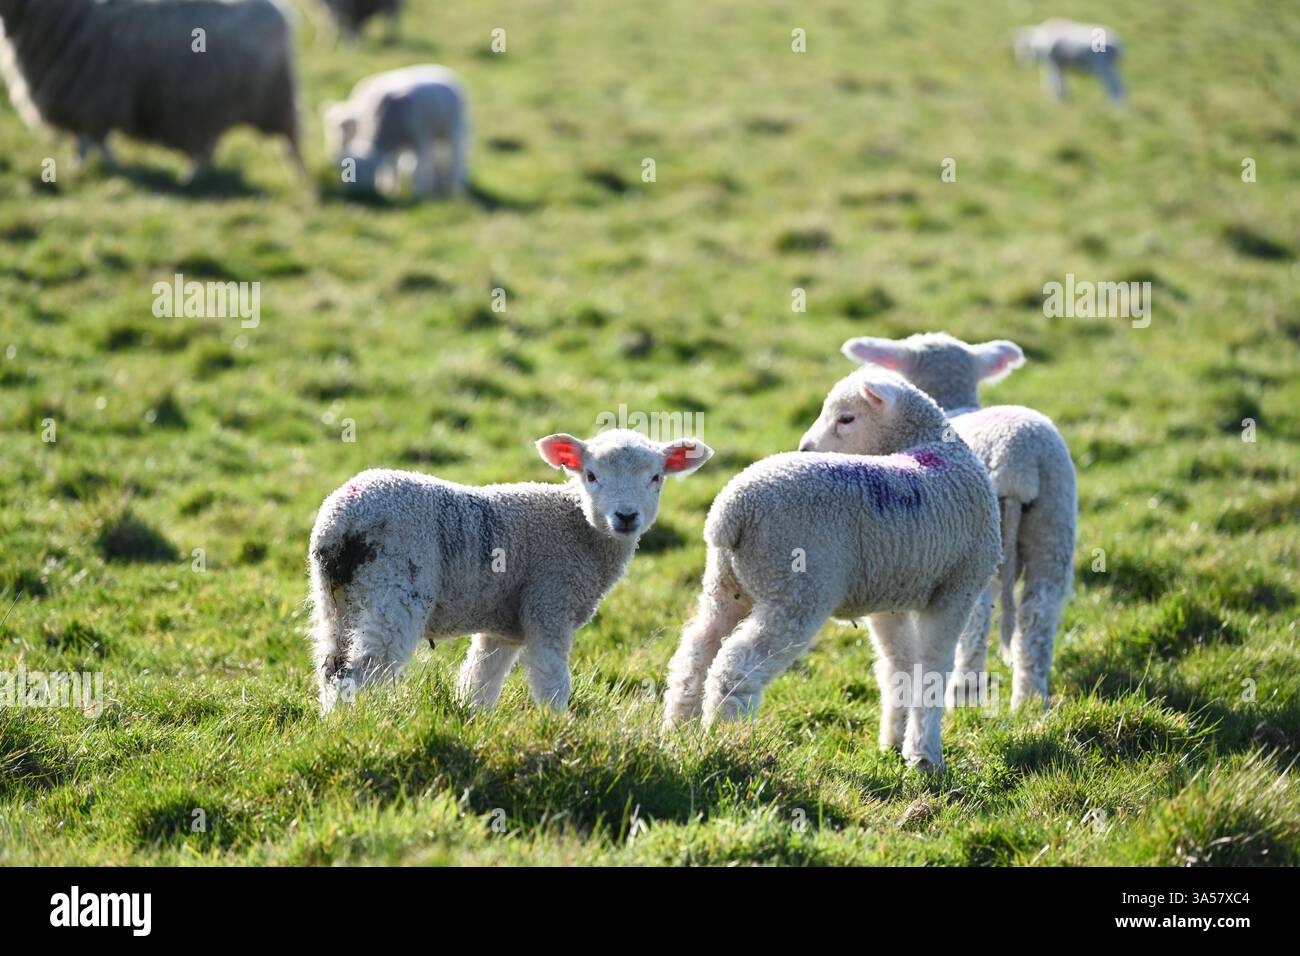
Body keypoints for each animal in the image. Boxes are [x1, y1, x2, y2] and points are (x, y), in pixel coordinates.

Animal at [0, 0, 304, 181]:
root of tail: (280, 13)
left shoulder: (95, 99)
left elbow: (90, 142)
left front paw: (87, 169)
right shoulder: (91, 103)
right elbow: (92, 142)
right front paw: (96, 166)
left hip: (274, 100)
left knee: (292, 142)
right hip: (219, 105)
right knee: (208, 147)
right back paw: (191, 176)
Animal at [309, 429, 713, 715]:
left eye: (656, 477)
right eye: (591, 475)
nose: (626, 516)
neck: (579, 527)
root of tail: (343, 519)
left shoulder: (503, 627)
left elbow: (479, 681)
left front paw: (472, 719)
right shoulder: (549, 602)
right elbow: (552, 681)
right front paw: (556, 727)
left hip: (336, 597)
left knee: (331, 668)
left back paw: (334, 724)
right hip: (395, 588)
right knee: (360, 671)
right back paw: (357, 725)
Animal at [324, 65, 469, 200]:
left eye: (368, 171)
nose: (358, 195)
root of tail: (443, 70)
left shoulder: (419, 137)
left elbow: (416, 169)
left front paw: (418, 194)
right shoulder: (395, 144)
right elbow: (391, 166)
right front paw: (390, 189)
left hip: (456, 127)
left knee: (457, 158)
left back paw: (456, 188)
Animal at [662, 370, 1000, 773]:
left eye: (846, 418)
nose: (806, 448)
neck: (932, 448)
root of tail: (731, 512)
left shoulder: (892, 598)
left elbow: (898, 667)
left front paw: (894, 742)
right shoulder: (956, 589)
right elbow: (934, 668)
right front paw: (925, 756)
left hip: (727, 586)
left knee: (695, 653)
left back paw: (679, 730)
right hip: (797, 593)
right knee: (735, 664)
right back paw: (727, 739)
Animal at [841, 333, 1077, 709]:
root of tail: (1020, 461)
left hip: (978, 548)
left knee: (977, 619)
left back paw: (964, 693)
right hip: (1054, 525)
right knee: (1039, 611)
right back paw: (1030, 698)